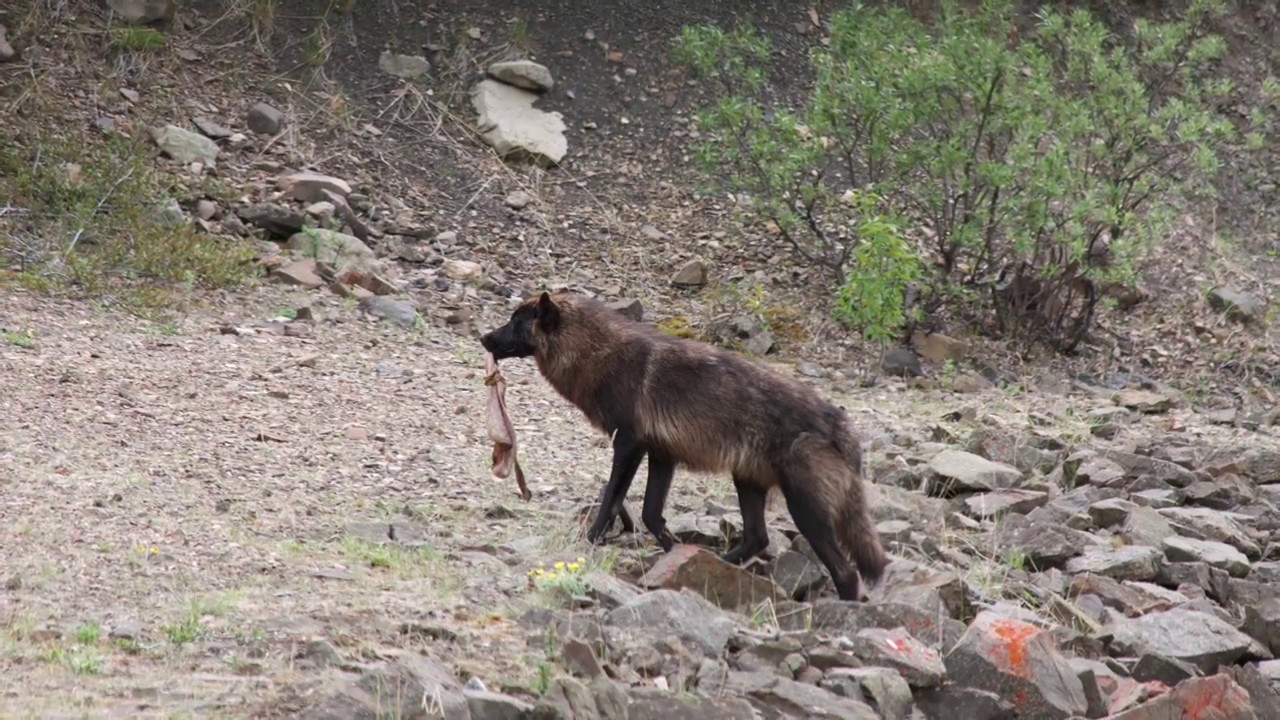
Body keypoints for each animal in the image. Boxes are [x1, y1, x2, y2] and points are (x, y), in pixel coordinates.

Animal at [479, 290, 887, 600]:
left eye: (515, 321)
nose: (484, 338)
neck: (599, 353)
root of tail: (842, 426)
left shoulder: (628, 446)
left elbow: (611, 500)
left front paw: (592, 541)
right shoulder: (662, 454)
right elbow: (650, 514)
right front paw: (674, 551)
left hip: (805, 512)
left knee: (846, 573)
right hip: (747, 483)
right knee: (757, 538)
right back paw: (721, 567)